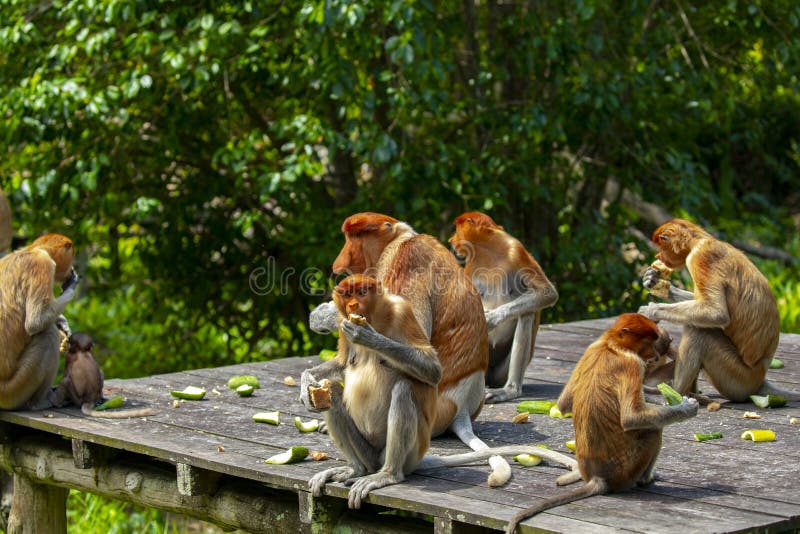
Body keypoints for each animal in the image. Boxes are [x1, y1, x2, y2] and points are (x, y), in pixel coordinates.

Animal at [0, 233, 79, 410]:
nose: (71, 270)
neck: (32, 249)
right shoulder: (43, 264)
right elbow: (36, 321)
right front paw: (71, 286)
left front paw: (63, 324)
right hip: (15, 387)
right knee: (47, 336)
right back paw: (41, 402)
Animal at [303, 212, 513, 488]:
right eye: (349, 236)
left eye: (357, 236)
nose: (340, 263)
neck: (402, 236)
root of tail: (462, 408)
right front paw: (306, 382)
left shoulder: (403, 260)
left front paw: (327, 317)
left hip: (434, 419)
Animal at [448, 212, 558, 403]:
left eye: (456, 229)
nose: (451, 240)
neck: (488, 250)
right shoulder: (470, 266)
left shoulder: (517, 251)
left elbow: (547, 292)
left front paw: (491, 318)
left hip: (500, 372)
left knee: (526, 314)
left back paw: (509, 390)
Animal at [505, 313, 699, 533]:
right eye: (649, 341)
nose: (655, 356)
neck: (611, 345)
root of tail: (598, 478)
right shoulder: (633, 364)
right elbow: (631, 418)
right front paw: (687, 407)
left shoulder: (591, 346)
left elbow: (564, 403)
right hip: (626, 471)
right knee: (653, 432)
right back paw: (645, 479)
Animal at [638, 218, 799, 402]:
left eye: (661, 247)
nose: (658, 257)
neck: (700, 240)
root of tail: (760, 378)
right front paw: (653, 279)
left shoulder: (701, 257)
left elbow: (716, 312)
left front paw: (650, 310)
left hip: (736, 377)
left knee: (700, 332)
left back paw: (677, 393)